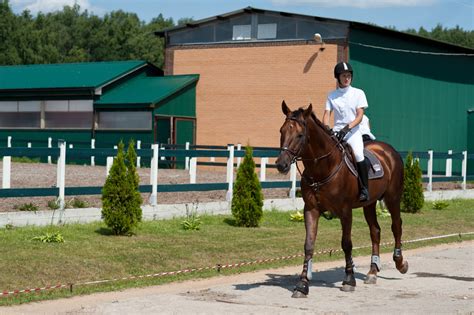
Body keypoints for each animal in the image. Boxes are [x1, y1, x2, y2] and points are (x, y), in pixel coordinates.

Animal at [276, 101, 410, 298]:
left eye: (300, 134)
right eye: (282, 131)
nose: (281, 164)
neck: (323, 167)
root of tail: (388, 150)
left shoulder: (345, 211)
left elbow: (346, 244)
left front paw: (349, 280)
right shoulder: (311, 210)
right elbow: (309, 245)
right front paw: (302, 284)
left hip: (393, 198)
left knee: (396, 226)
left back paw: (400, 263)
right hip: (369, 204)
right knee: (375, 231)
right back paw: (372, 271)